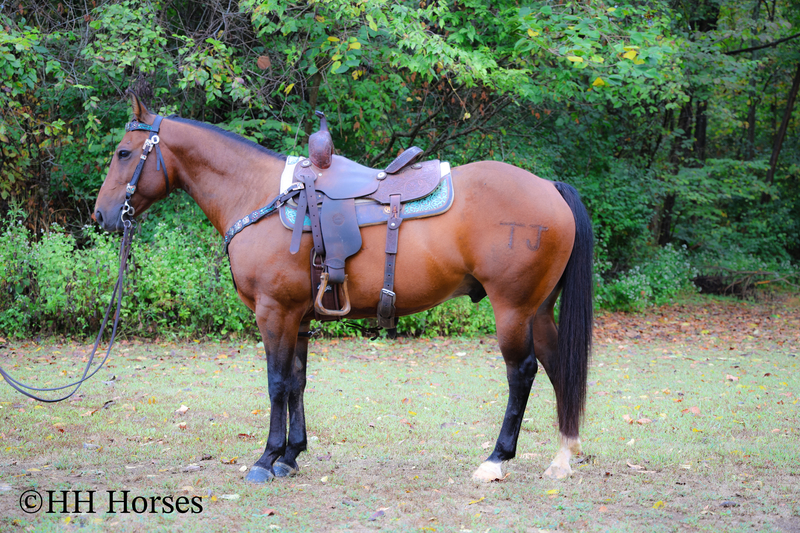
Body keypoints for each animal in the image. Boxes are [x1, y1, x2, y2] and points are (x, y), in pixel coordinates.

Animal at [93, 93, 593, 483]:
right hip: (538, 309)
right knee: (556, 365)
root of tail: (549, 186)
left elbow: (276, 383)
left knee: (522, 372)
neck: (259, 196)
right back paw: (562, 458)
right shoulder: (296, 316)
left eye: (123, 153)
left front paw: (265, 459)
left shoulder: (273, 312)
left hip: (512, 308)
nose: (101, 215)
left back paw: (496, 460)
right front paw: (290, 456)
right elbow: (297, 381)